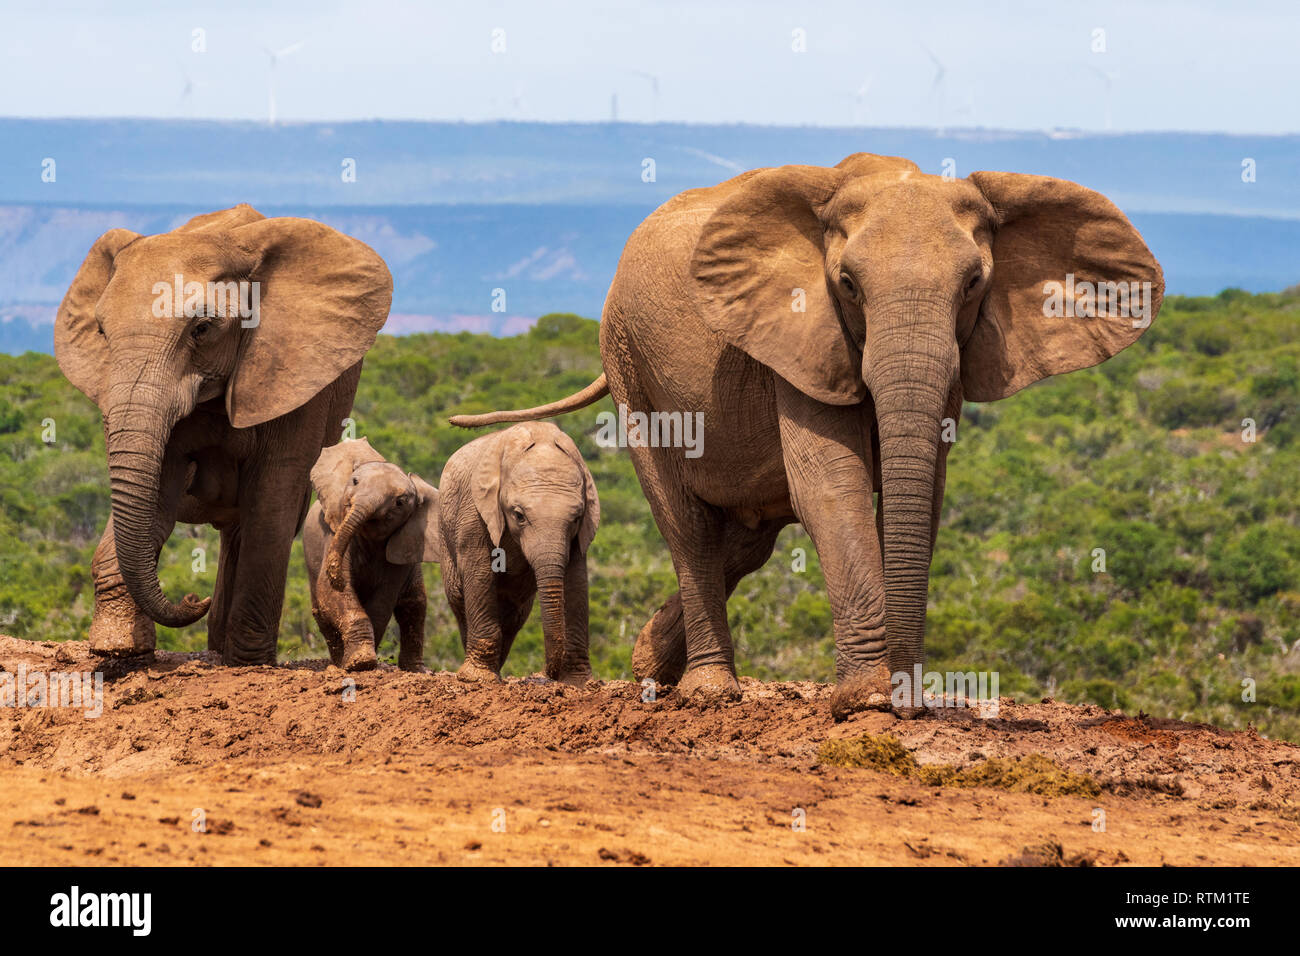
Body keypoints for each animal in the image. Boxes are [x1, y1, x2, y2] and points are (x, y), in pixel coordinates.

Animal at [53, 204, 392, 666]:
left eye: (202, 328)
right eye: (102, 331)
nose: (192, 598)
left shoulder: (293, 375)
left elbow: (273, 498)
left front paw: (249, 663)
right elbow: (158, 489)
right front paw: (117, 648)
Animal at [303, 439, 439, 672]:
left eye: (399, 502)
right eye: (355, 481)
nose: (337, 578)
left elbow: (383, 600)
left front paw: (362, 662)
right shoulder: (334, 532)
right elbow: (331, 592)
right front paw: (358, 662)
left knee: (415, 605)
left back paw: (416, 670)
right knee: (321, 610)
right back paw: (338, 663)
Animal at [437, 422, 599, 685]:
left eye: (575, 518)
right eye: (519, 515)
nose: (547, 674)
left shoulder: (581, 532)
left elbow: (576, 579)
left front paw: (577, 683)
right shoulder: (474, 511)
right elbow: (478, 572)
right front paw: (478, 678)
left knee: (514, 615)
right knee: (459, 598)